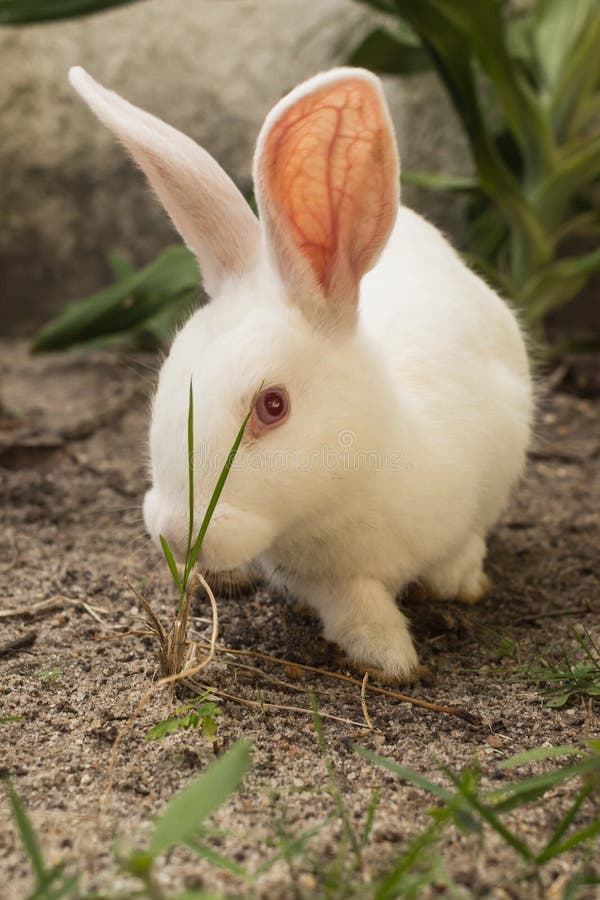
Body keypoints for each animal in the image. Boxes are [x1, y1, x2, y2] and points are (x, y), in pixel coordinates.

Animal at [69, 65, 533, 682]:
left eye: (273, 405)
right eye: (166, 385)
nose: (175, 533)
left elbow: (463, 548)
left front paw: (460, 586)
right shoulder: (325, 577)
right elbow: (356, 604)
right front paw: (390, 658)